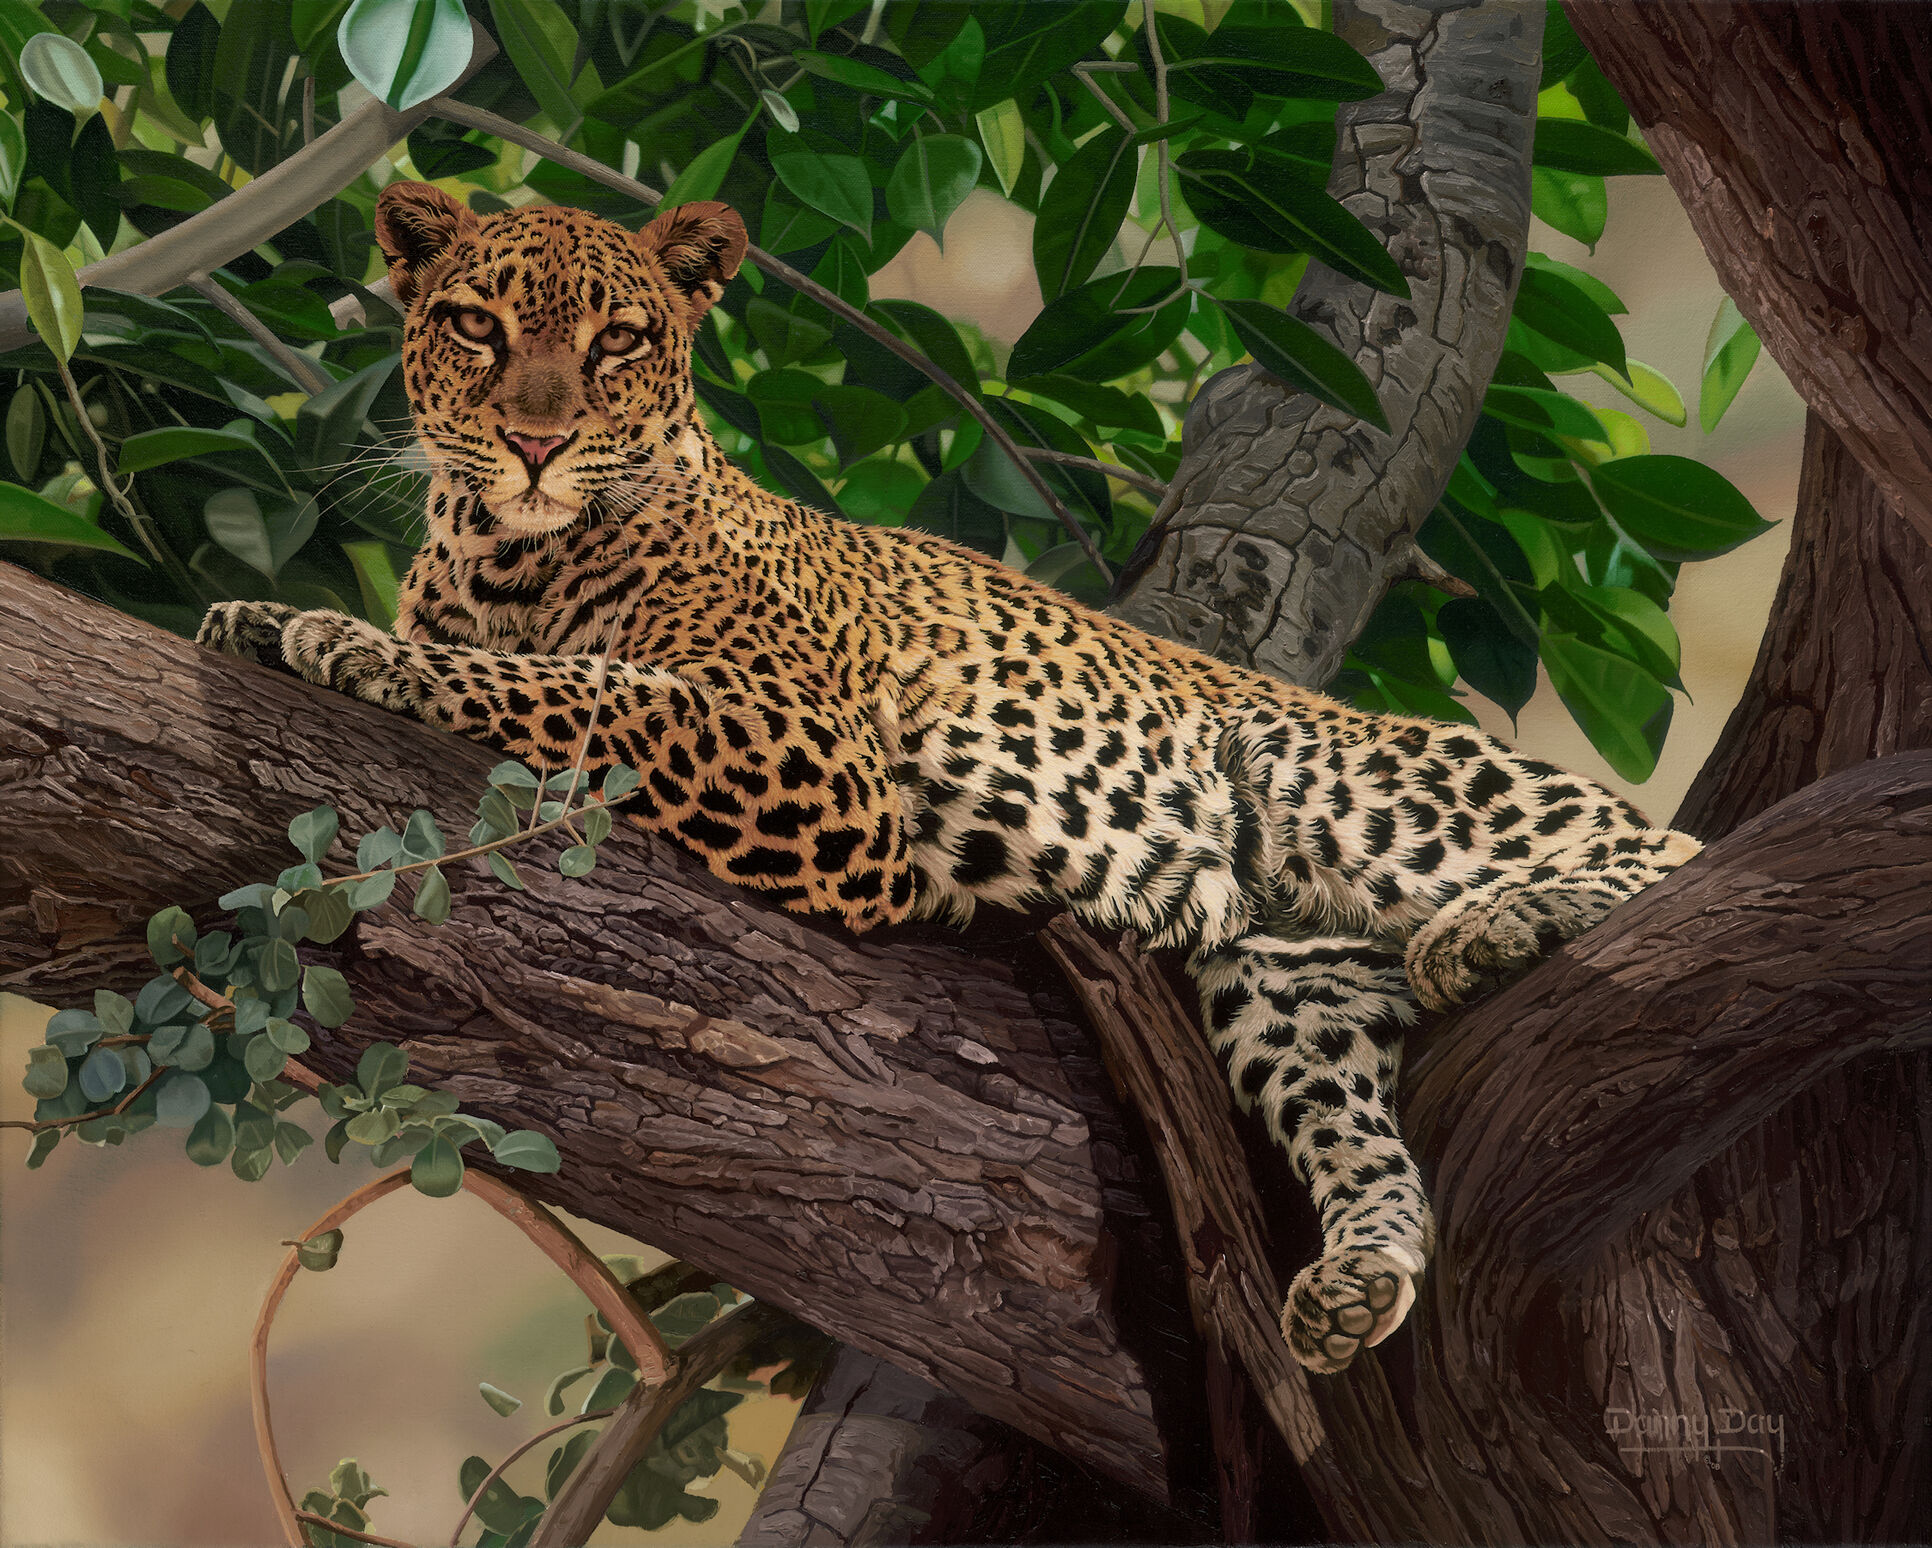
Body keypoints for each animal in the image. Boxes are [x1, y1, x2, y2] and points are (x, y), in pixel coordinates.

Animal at [197, 183, 1701, 1374]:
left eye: (617, 339)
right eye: (478, 327)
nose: (533, 443)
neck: (501, 555)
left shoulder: (810, 755)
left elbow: (579, 693)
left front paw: (328, 637)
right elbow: (556, 678)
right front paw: (279, 618)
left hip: (1333, 774)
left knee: (1666, 859)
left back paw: (1495, 925)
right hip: (1282, 965)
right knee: (1355, 1117)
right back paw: (1357, 1281)